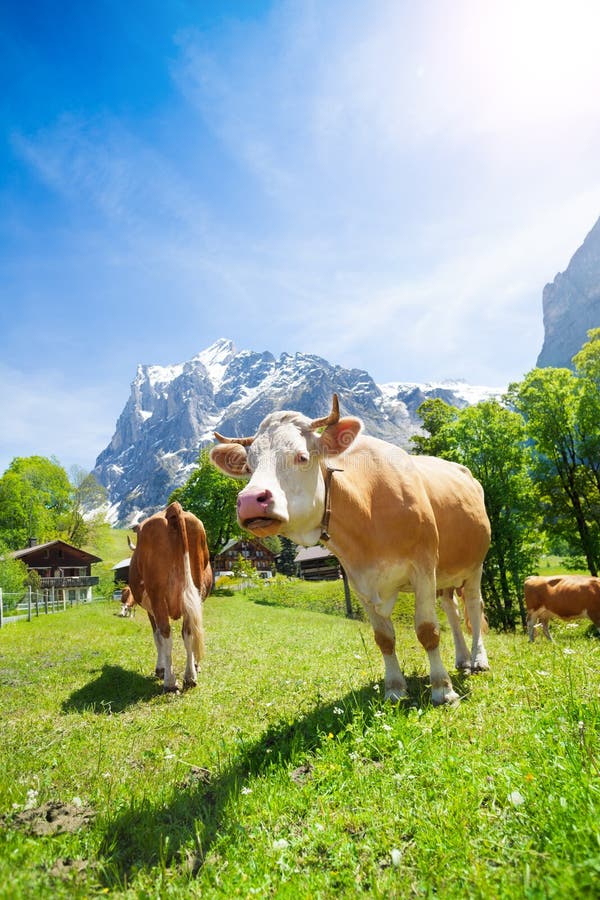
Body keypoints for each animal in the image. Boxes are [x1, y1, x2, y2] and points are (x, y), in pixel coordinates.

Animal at [127, 501, 212, 692]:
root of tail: (172, 508)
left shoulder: (150, 609)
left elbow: (157, 636)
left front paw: (160, 669)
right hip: (195, 592)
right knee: (189, 632)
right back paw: (190, 676)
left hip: (157, 596)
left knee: (166, 633)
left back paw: (170, 681)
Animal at [210, 394, 490, 705]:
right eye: (249, 466)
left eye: (302, 456)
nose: (250, 501)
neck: (367, 506)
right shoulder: (359, 581)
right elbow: (384, 638)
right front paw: (394, 690)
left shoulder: (423, 567)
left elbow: (427, 630)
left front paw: (442, 689)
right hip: (445, 576)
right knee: (452, 611)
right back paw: (462, 659)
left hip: (474, 565)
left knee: (474, 606)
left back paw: (478, 660)